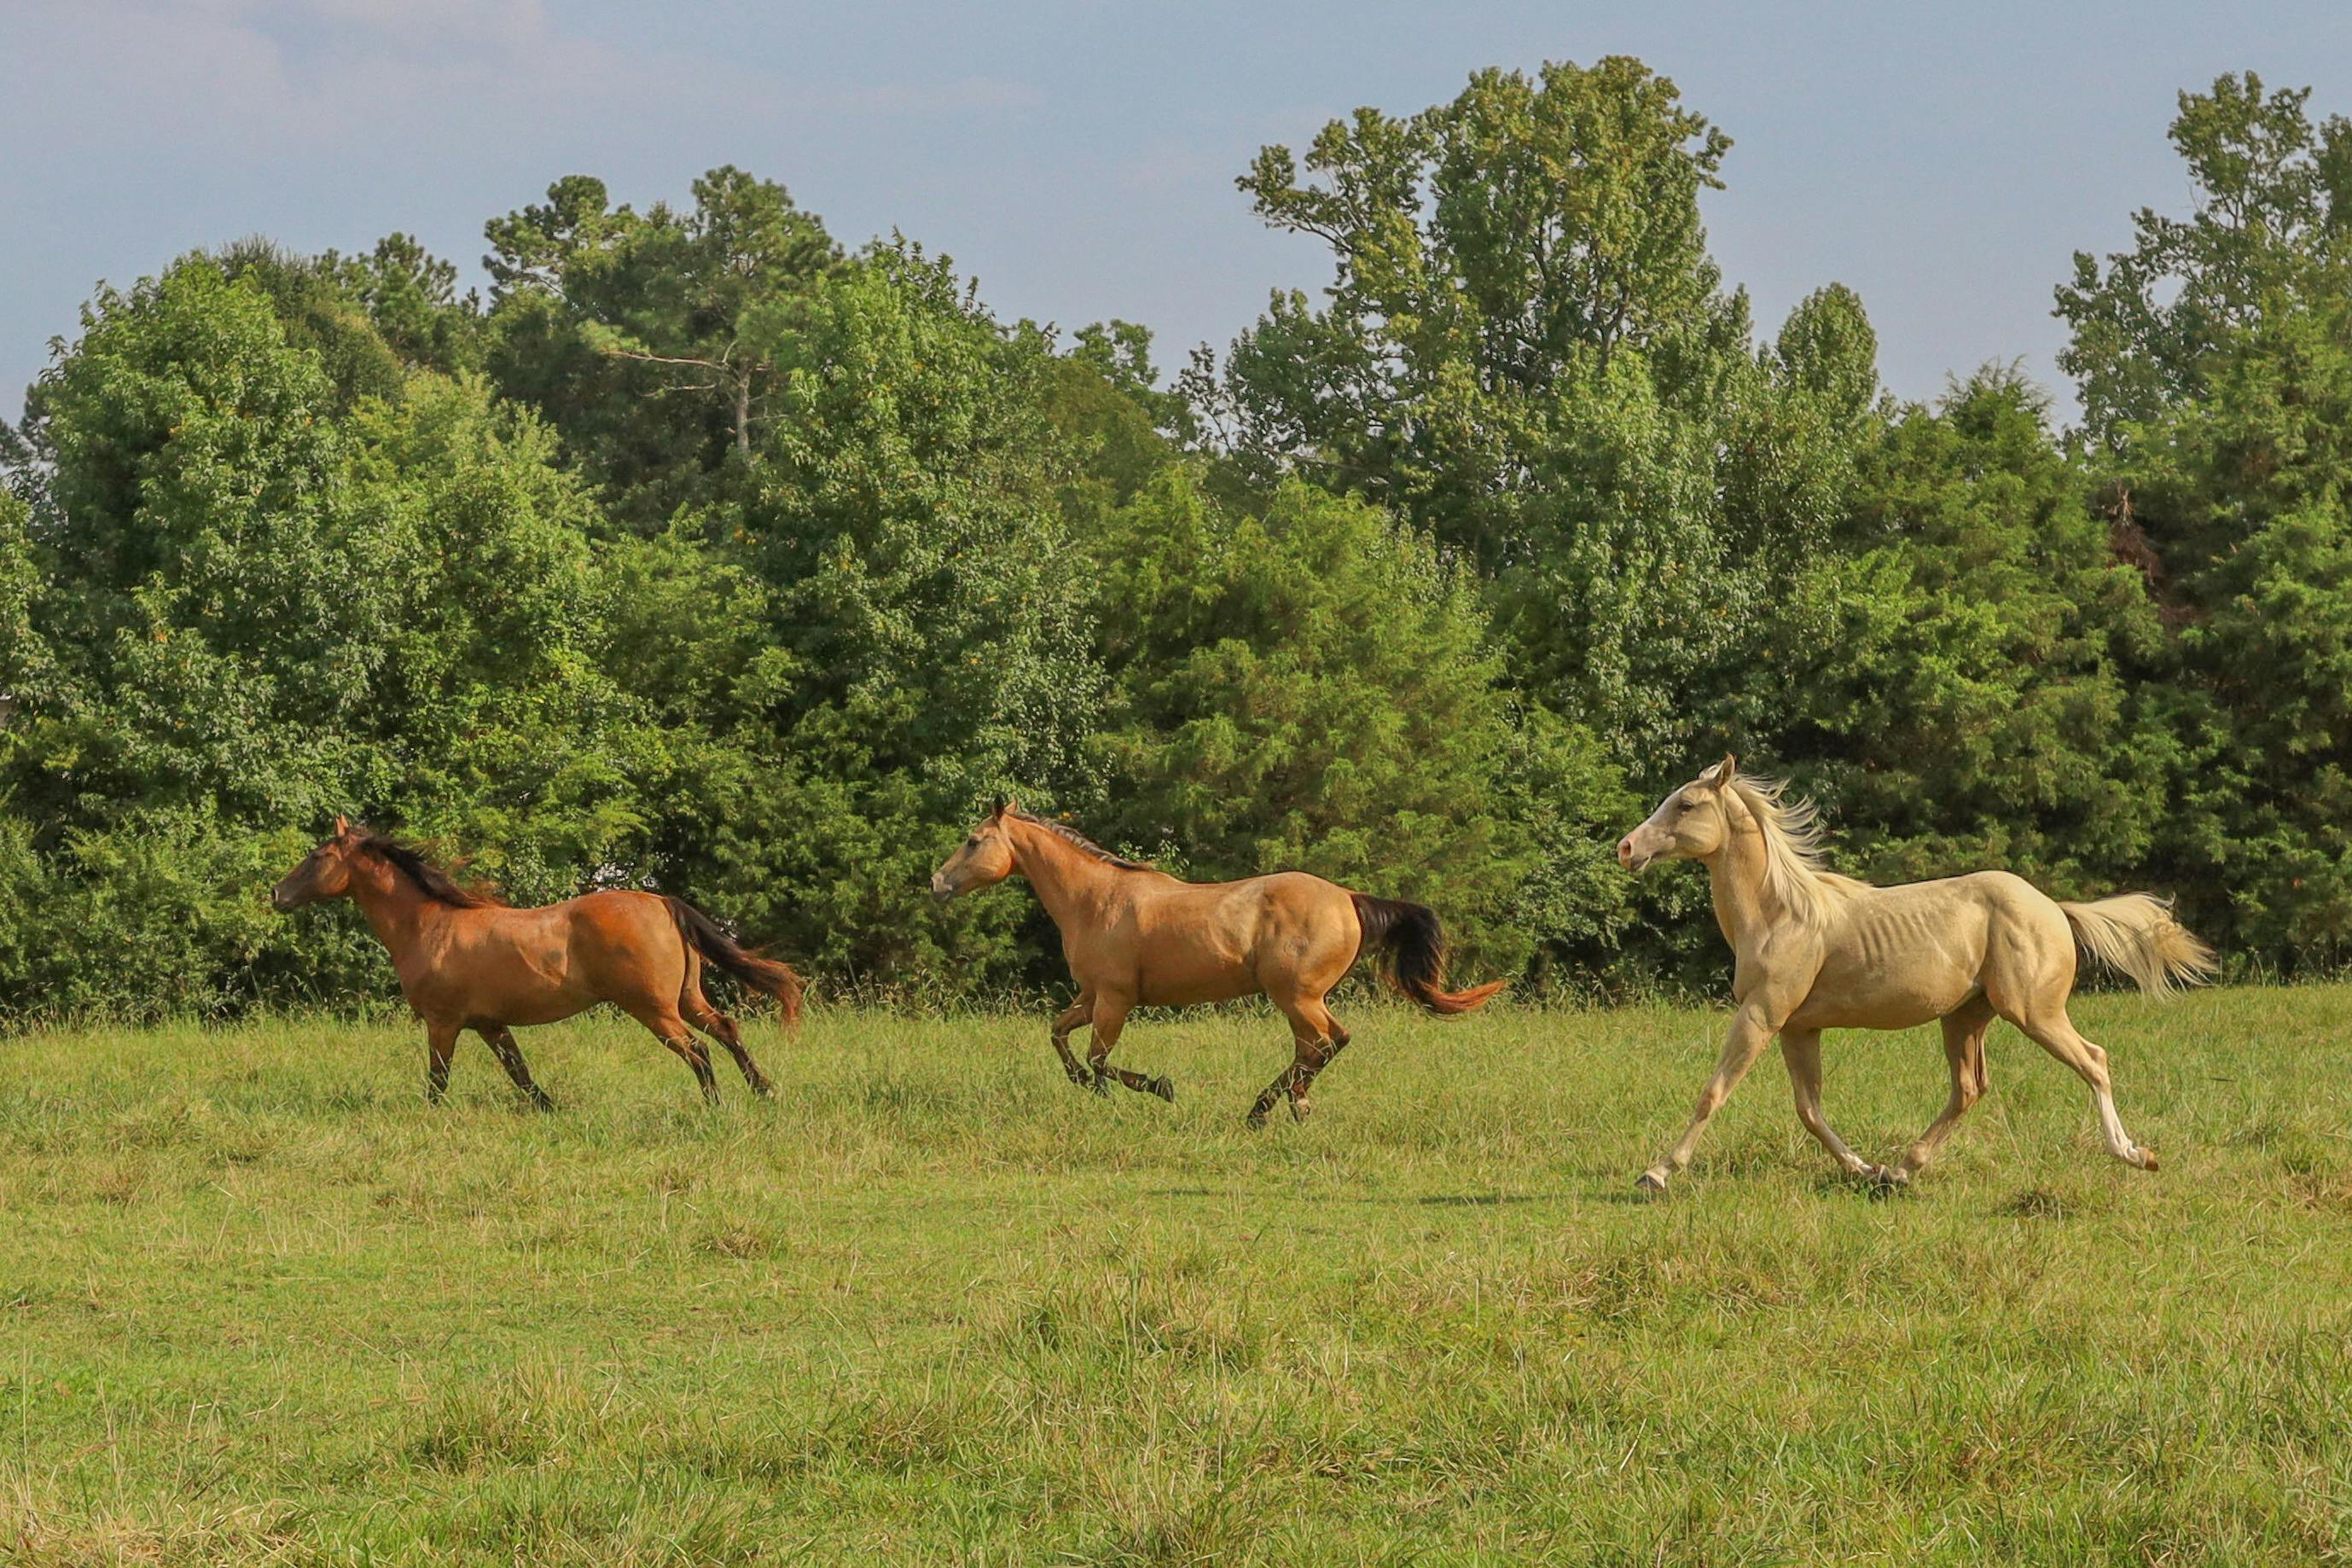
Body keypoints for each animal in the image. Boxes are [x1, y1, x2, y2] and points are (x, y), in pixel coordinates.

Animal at [271, 818, 804, 1107]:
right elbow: (520, 1074)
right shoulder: (489, 1024)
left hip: (653, 1008)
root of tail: (660, 902)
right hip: (688, 998)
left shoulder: (443, 1023)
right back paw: (765, 1091)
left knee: (698, 1050)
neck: (429, 926)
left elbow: (438, 1082)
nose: (276, 893)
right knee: (727, 1030)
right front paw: (550, 1109)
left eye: (317, 856)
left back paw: (715, 1105)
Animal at [929, 797, 1504, 1124]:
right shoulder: (1091, 996)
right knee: (1318, 1047)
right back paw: (1287, 1107)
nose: (936, 883)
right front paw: (1091, 1089)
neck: (1096, 899)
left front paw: (1153, 1090)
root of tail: (1348, 897)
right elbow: (1058, 1036)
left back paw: (1266, 1110)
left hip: (1295, 996)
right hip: (1302, 999)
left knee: (1325, 1044)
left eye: (973, 840)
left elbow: (1098, 1059)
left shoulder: (1115, 999)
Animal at [1616, 756, 2215, 1193]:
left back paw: (2135, 1154)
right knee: (1969, 1089)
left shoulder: (1762, 1015)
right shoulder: (1798, 1027)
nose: (1625, 848)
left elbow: (1714, 1092)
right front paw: (1865, 1169)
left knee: (2094, 1061)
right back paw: (1902, 1169)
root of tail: (2054, 908)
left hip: (2034, 1012)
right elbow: (1809, 1110)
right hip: (1966, 1018)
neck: (1780, 914)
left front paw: (1656, 1173)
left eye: (1687, 803)